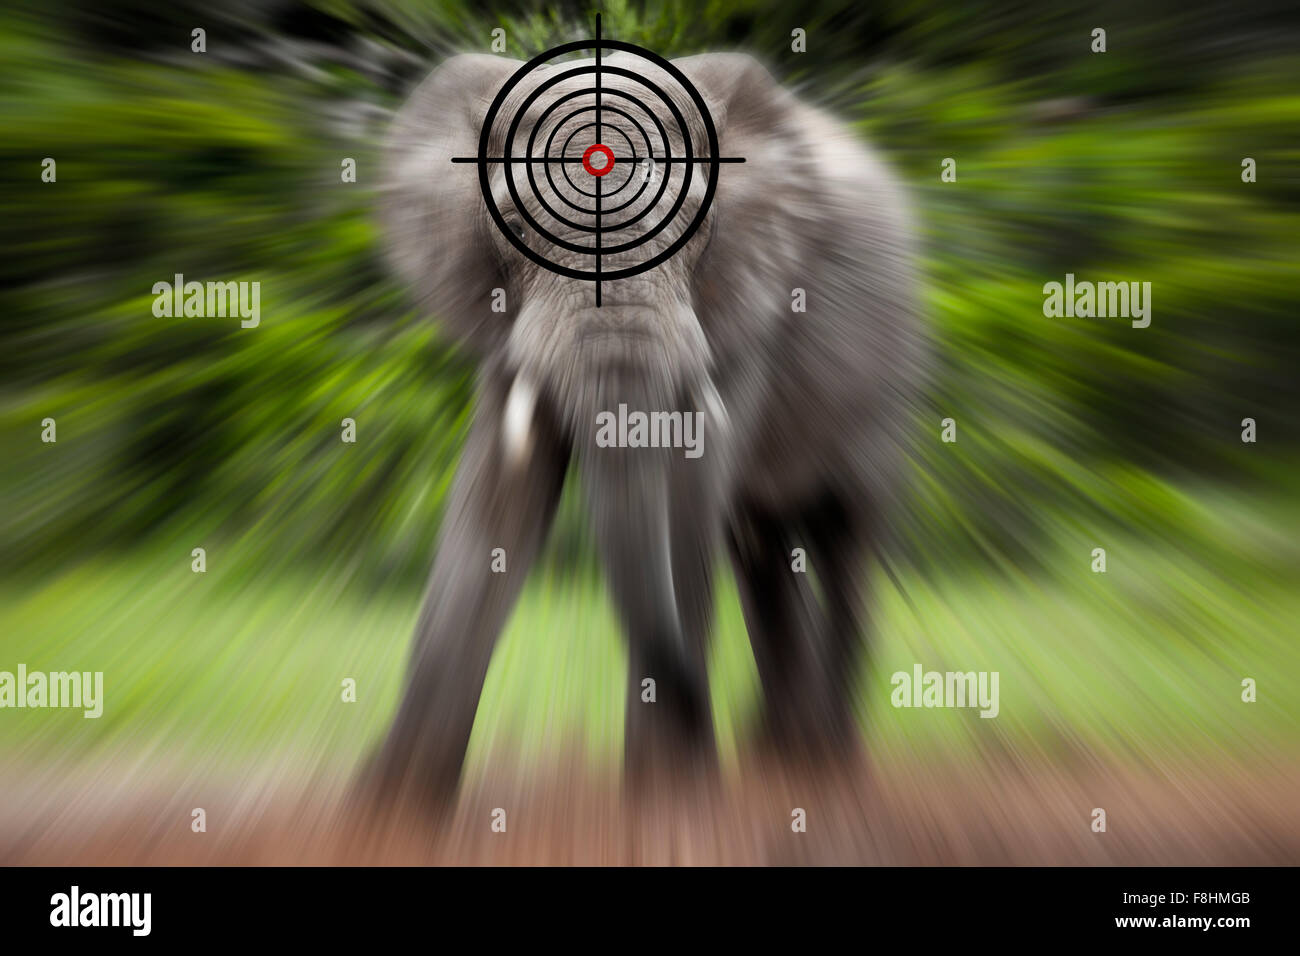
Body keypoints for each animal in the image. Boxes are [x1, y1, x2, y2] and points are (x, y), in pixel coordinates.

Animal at [367, 50, 927, 807]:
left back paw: (822, 758)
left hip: (889, 380)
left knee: (844, 533)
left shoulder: (749, 297)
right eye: (515, 225)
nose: (691, 686)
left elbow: (687, 496)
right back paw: (777, 750)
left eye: (692, 222)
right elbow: (495, 498)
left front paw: (669, 797)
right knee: (762, 544)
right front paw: (388, 804)